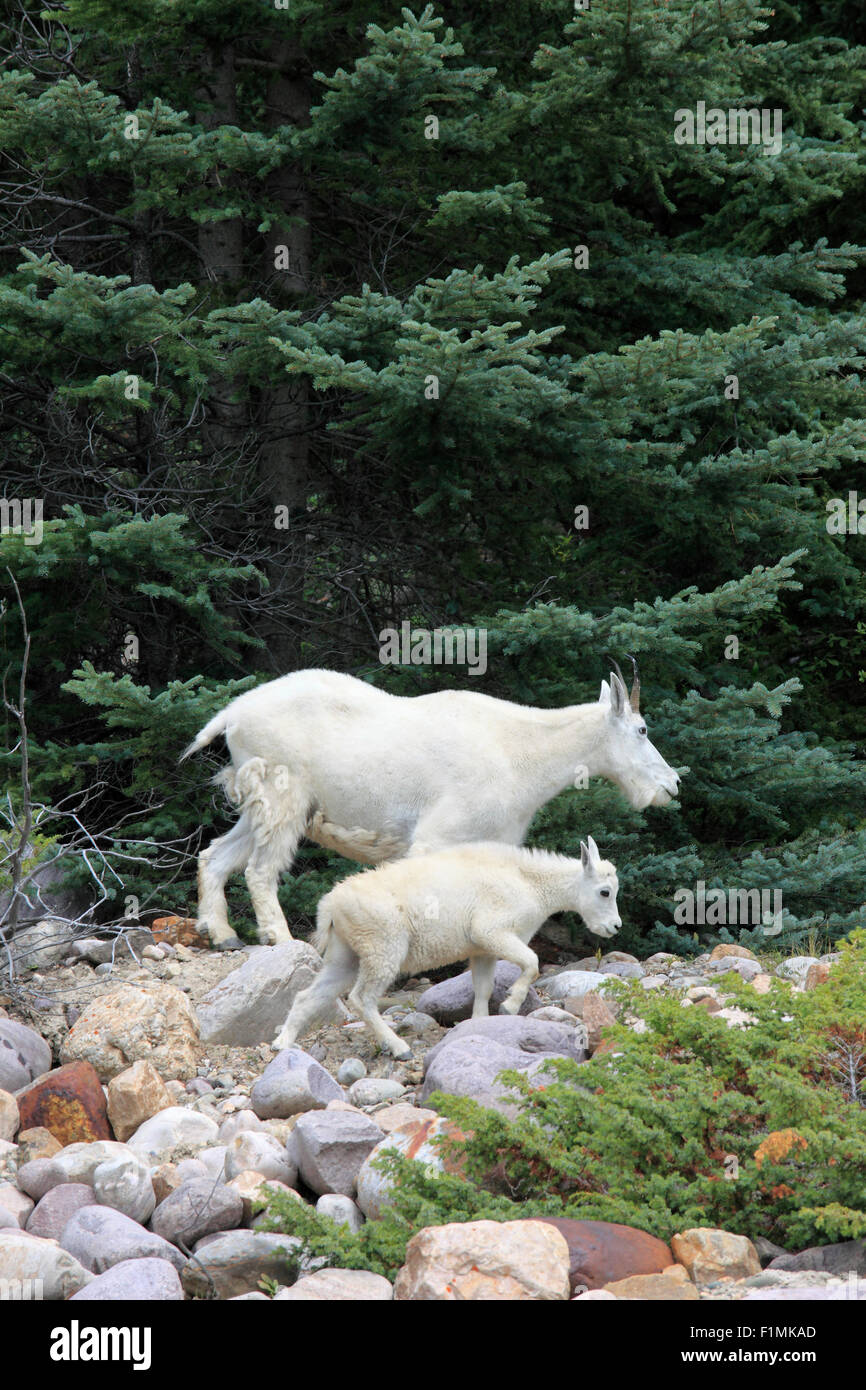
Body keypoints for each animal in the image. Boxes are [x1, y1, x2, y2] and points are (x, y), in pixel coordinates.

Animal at [181, 661, 678, 947]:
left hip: (259, 806)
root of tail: (231, 715)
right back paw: (281, 939)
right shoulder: (436, 838)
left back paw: (220, 933)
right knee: (260, 870)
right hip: (282, 795)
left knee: (215, 856)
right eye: (642, 730)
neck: (523, 753)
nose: (671, 785)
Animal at [273, 837, 621, 1059]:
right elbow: (532, 962)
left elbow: (482, 989)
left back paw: (282, 1043)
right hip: (383, 948)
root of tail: (330, 907)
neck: (531, 884)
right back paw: (399, 1048)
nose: (615, 927)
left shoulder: (482, 949)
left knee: (309, 995)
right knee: (361, 998)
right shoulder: (492, 931)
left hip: (345, 955)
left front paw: (479, 1025)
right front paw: (510, 1004)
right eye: (605, 892)